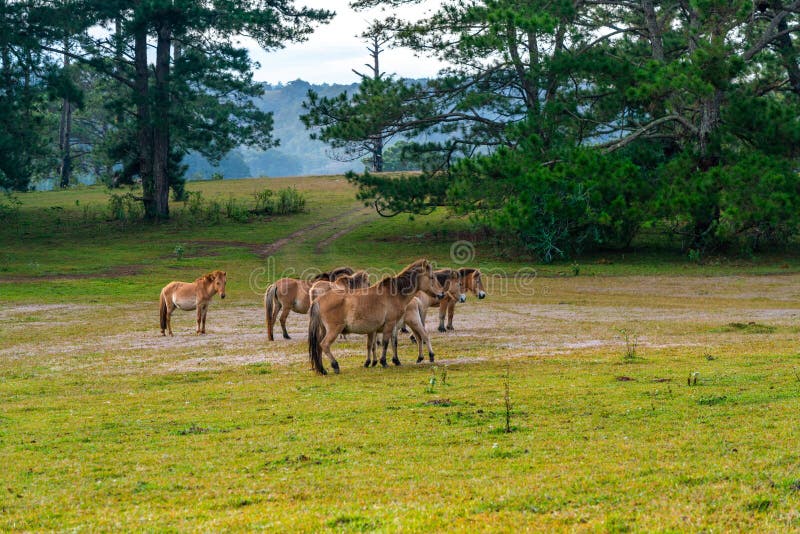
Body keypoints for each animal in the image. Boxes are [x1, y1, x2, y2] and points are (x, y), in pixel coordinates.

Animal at [308, 259, 445, 375]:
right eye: (432, 277)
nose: (442, 294)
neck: (394, 293)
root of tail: (318, 300)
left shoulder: (379, 329)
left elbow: (378, 344)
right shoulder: (389, 324)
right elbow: (385, 343)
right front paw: (383, 361)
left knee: (318, 347)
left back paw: (322, 369)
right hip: (334, 330)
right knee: (324, 345)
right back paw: (335, 365)